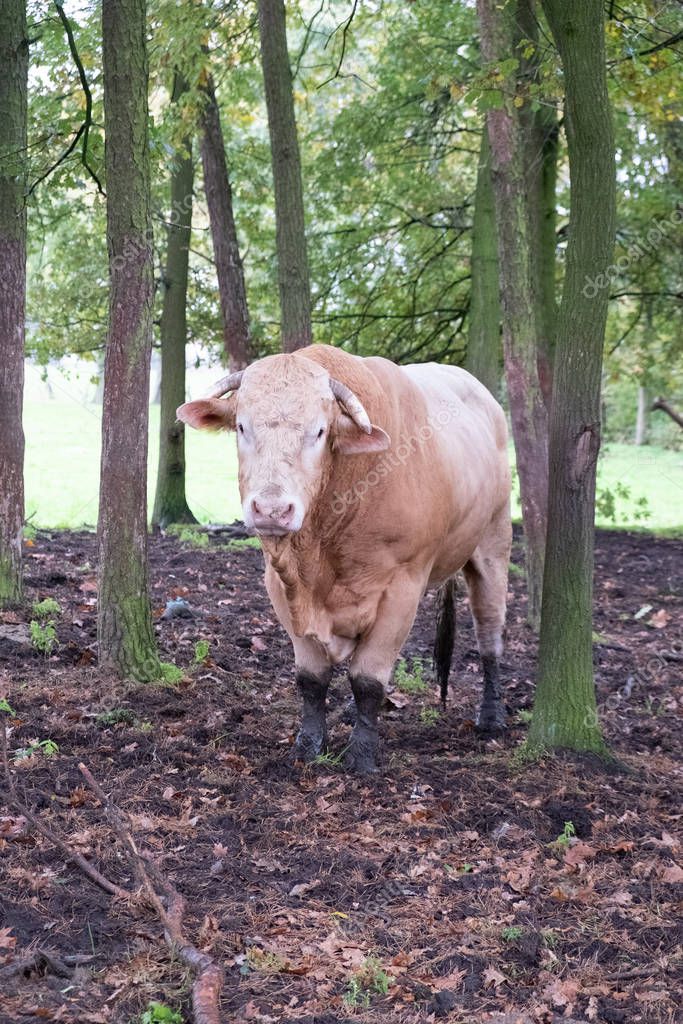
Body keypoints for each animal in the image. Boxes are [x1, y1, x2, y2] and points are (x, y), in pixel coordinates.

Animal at [177, 344, 512, 773]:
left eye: (320, 431)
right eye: (241, 427)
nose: (272, 510)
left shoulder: (402, 587)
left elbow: (368, 680)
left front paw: (362, 755)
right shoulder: (281, 586)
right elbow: (311, 679)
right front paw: (307, 745)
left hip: (493, 543)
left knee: (489, 631)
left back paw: (492, 715)